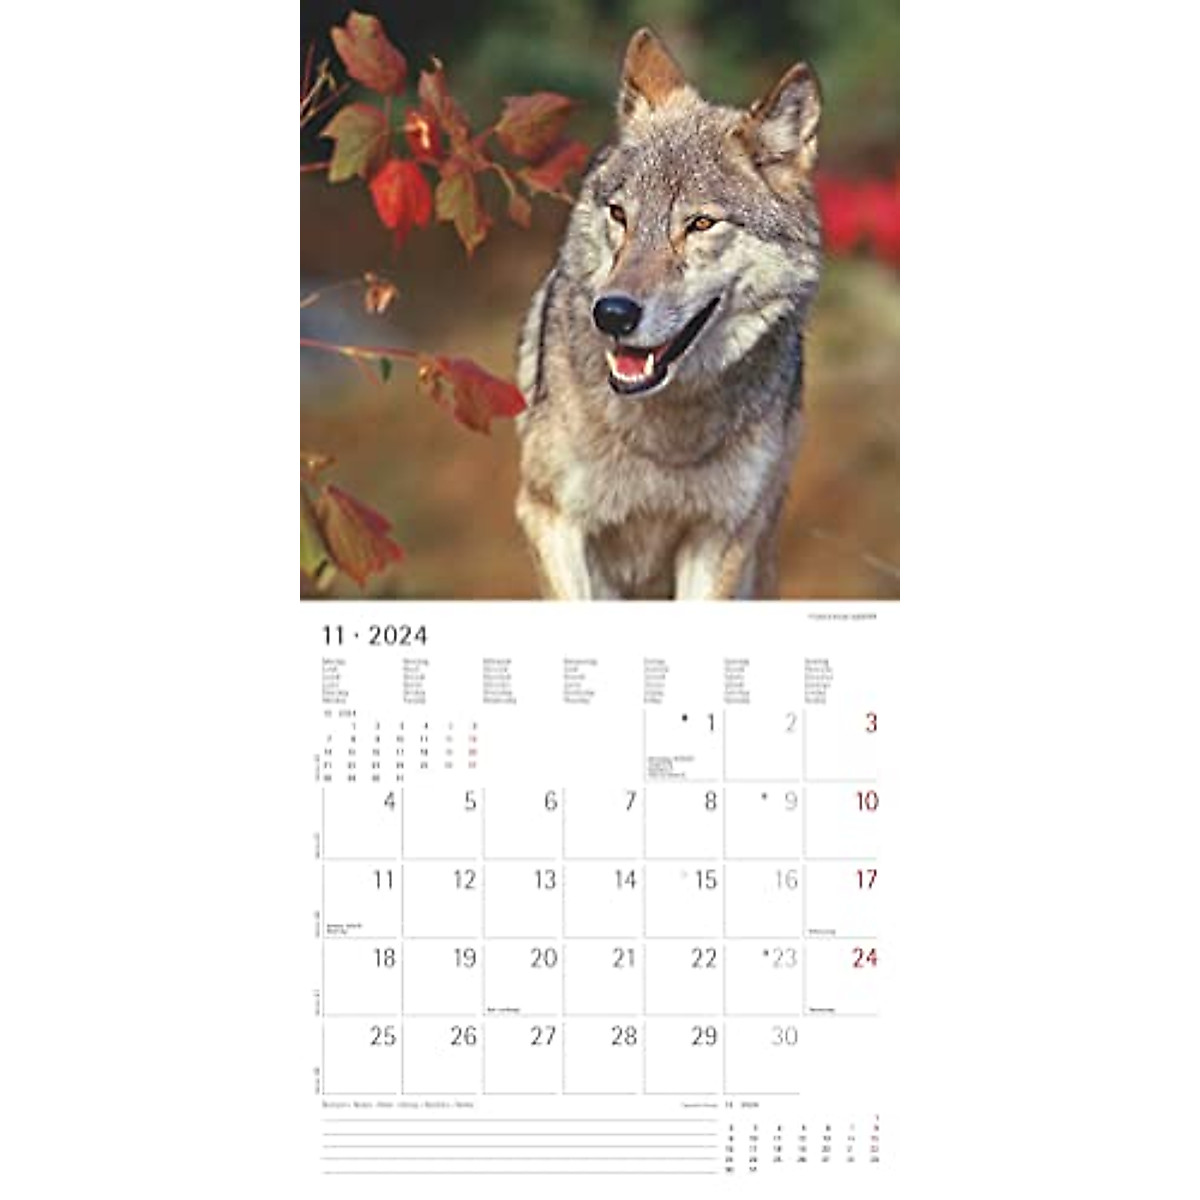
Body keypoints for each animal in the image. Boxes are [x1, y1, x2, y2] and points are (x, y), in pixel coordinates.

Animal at [514, 27, 823, 599]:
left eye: (700, 223)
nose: (612, 313)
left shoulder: (719, 537)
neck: (665, 437)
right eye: (620, 215)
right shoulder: (550, 516)